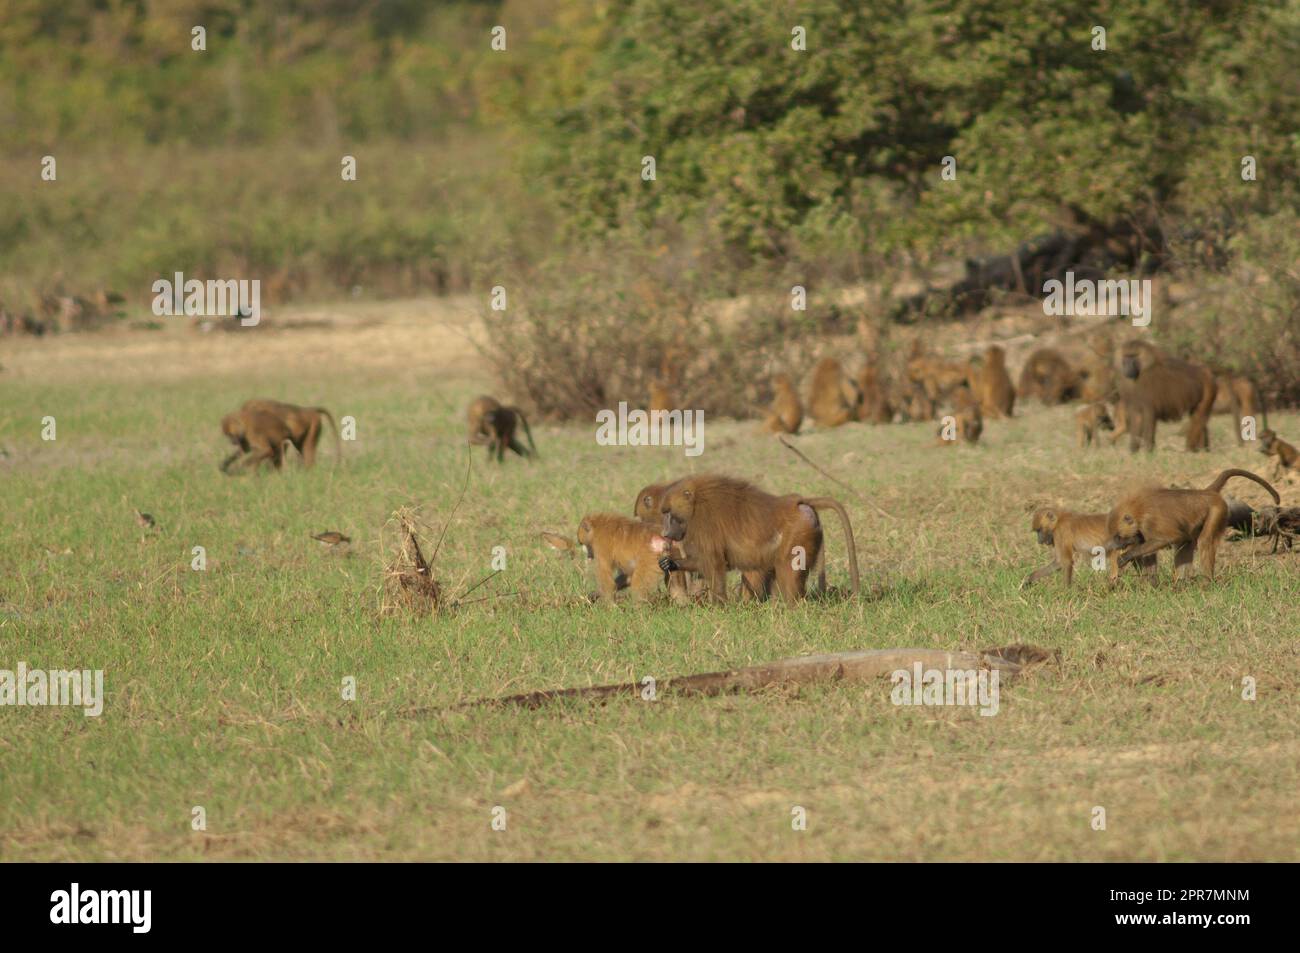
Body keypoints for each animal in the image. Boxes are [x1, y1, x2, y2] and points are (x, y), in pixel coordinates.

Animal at [656, 475, 861, 603]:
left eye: (668, 514)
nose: (666, 533)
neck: (697, 503)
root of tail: (797, 502)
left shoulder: (704, 525)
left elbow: (714, 565)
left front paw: (719, 607)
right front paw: (670, 563)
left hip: (798, 534)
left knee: (787, 573)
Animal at [1021, 508, 1156, 588]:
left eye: (1039, 530)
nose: (1039, 540)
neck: (1059, 520)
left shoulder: (1061, 532)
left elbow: (1065, 562)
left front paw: (1065, 593)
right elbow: (1059, 563)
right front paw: (1030, 580)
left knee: (1116, 560)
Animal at [1107, 469, 1280, 581]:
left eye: (1118, 537)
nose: (1116, 546)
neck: (1138, 511)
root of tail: (1206, 492)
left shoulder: (1149, 523)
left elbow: (1167, 539)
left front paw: (1124, 557)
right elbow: (1150, 553)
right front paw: (1150, 584)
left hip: (1217, 510)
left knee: (1204, 542)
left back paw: (1206, 583)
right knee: (1185, 544)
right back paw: (1181, 584)